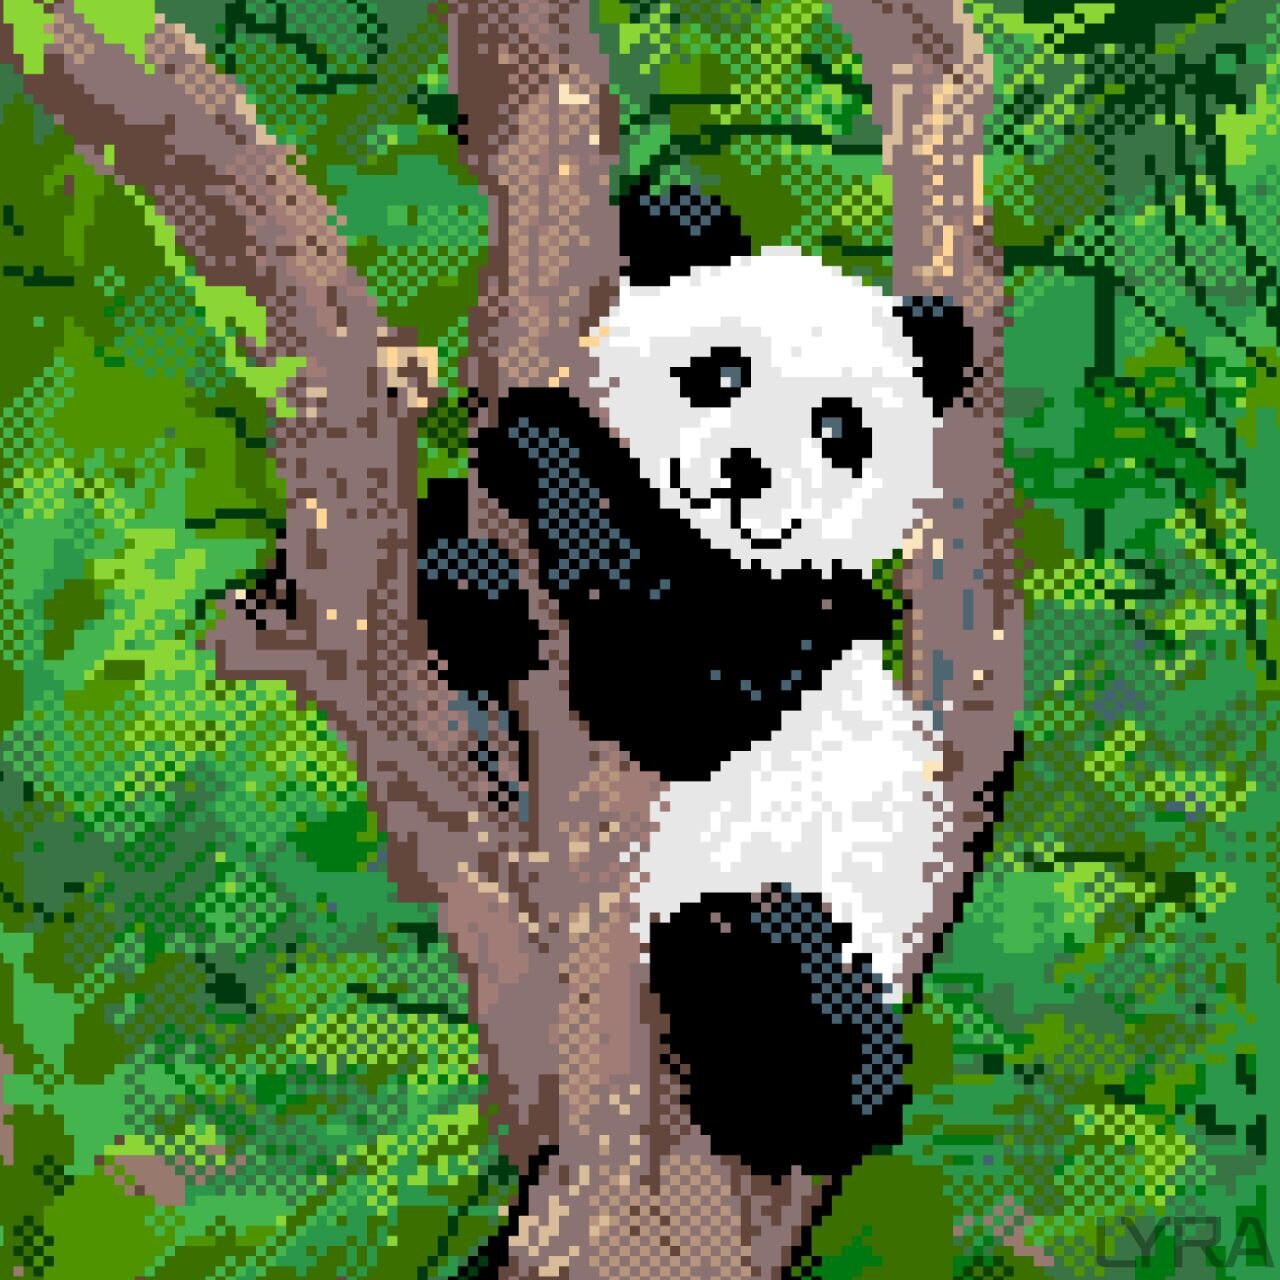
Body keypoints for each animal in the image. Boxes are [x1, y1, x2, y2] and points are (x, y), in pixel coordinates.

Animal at [419, 186, 978, 1181]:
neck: (703, 542)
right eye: (719, 373)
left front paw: (543, 436)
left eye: (839, 427)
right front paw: (467, 580)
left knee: (756, 946)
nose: (745, 473)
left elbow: (678, 689)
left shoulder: (805, 614)